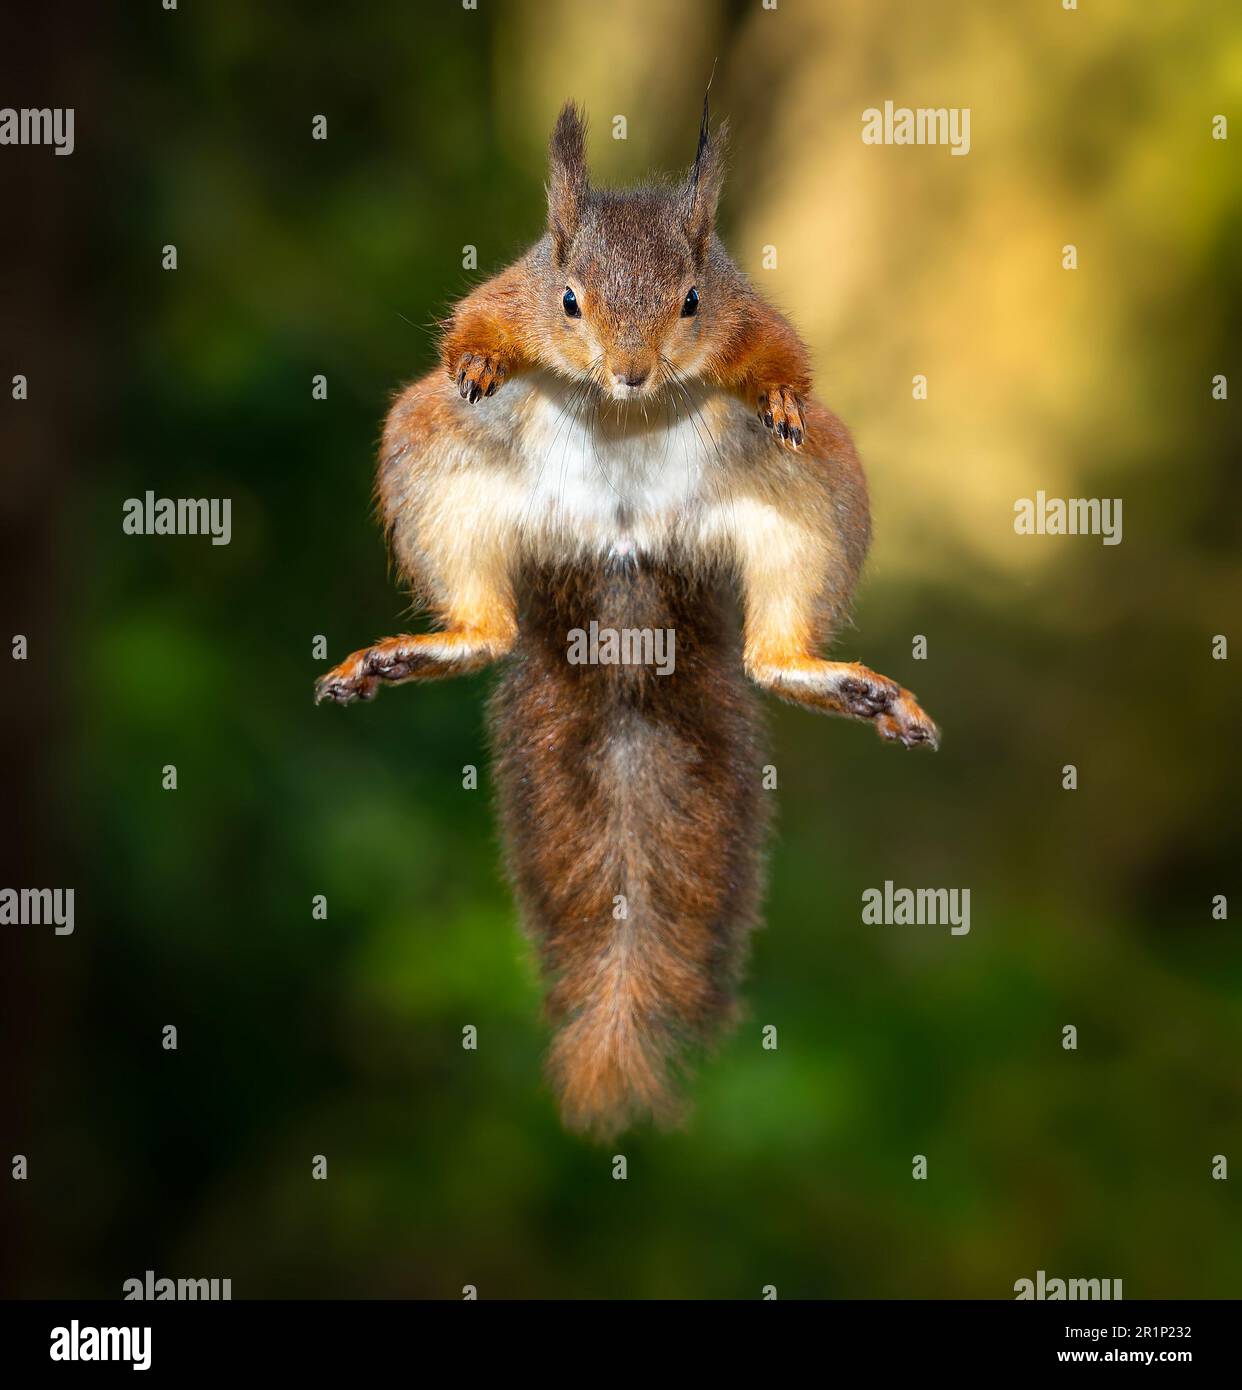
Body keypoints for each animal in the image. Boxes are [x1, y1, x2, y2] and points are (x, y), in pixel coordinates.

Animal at [316, 98, 939, 1139]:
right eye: (570, 298)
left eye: (690, 299)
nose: (634, 373)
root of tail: (622, 546)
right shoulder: (512, 292)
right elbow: (475, 321)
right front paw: (476, 359)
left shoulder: (747, 313)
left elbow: (782, 356)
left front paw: (779, 394)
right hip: (433, 458)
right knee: (487, 625)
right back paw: (414, 653)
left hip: (814, 497)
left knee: (772, 649)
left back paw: (845, 685)